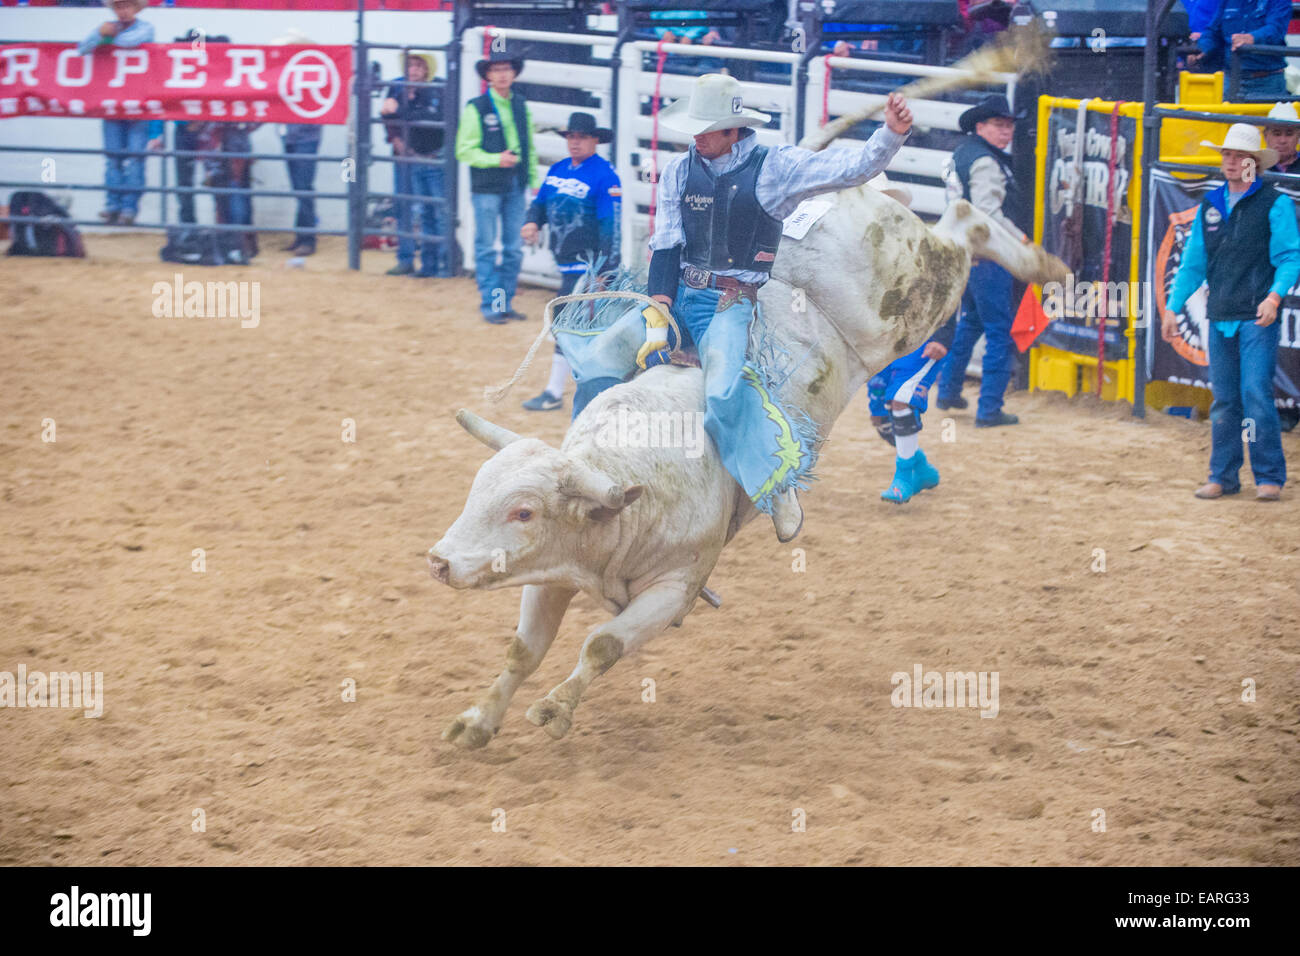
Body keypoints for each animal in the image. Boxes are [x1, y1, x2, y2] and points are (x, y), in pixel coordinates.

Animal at [427, 186, 1069, 749]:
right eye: (475, 492)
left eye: (523, 511)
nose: (439, 562)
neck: (634, 481)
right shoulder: (553, 574)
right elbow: (523, 652)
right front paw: (476, 723)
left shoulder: (675, 588)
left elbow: (602, 646)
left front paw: (556, 709)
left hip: (914, 298)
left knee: (964, 225)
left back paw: (1044, 263)